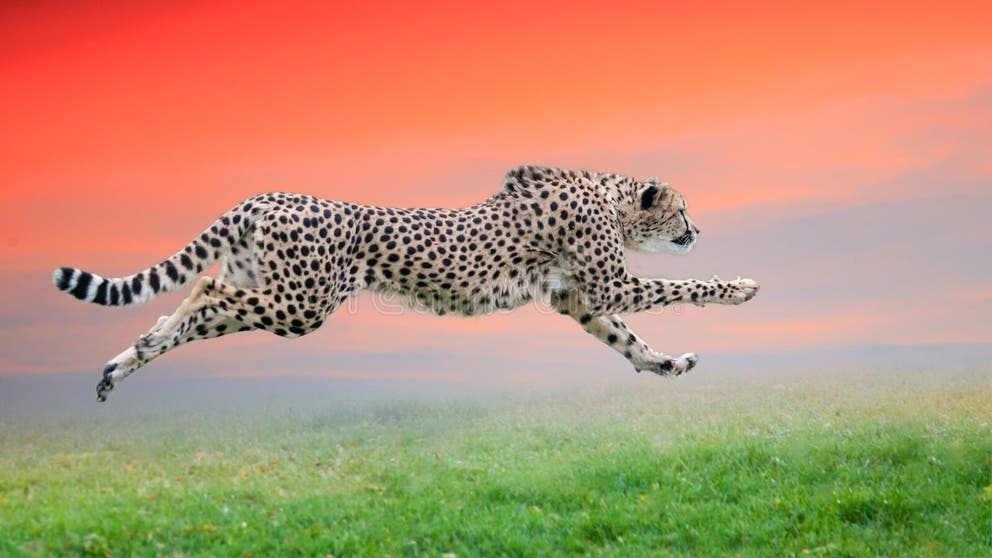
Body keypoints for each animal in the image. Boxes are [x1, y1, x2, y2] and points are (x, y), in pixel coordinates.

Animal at [52, 165, 759, 401]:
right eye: (683, 210)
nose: (696, 229)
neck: (610, 198)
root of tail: (267, 195)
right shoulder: (607, 286)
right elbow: (680, 287)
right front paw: (741, 287)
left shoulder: (577, 300)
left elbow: (627, 341)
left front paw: (666, 365)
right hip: (301, 304)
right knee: (201, 289)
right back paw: (139, 350)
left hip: (279, 295)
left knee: (190, 311)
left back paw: (126, 361)